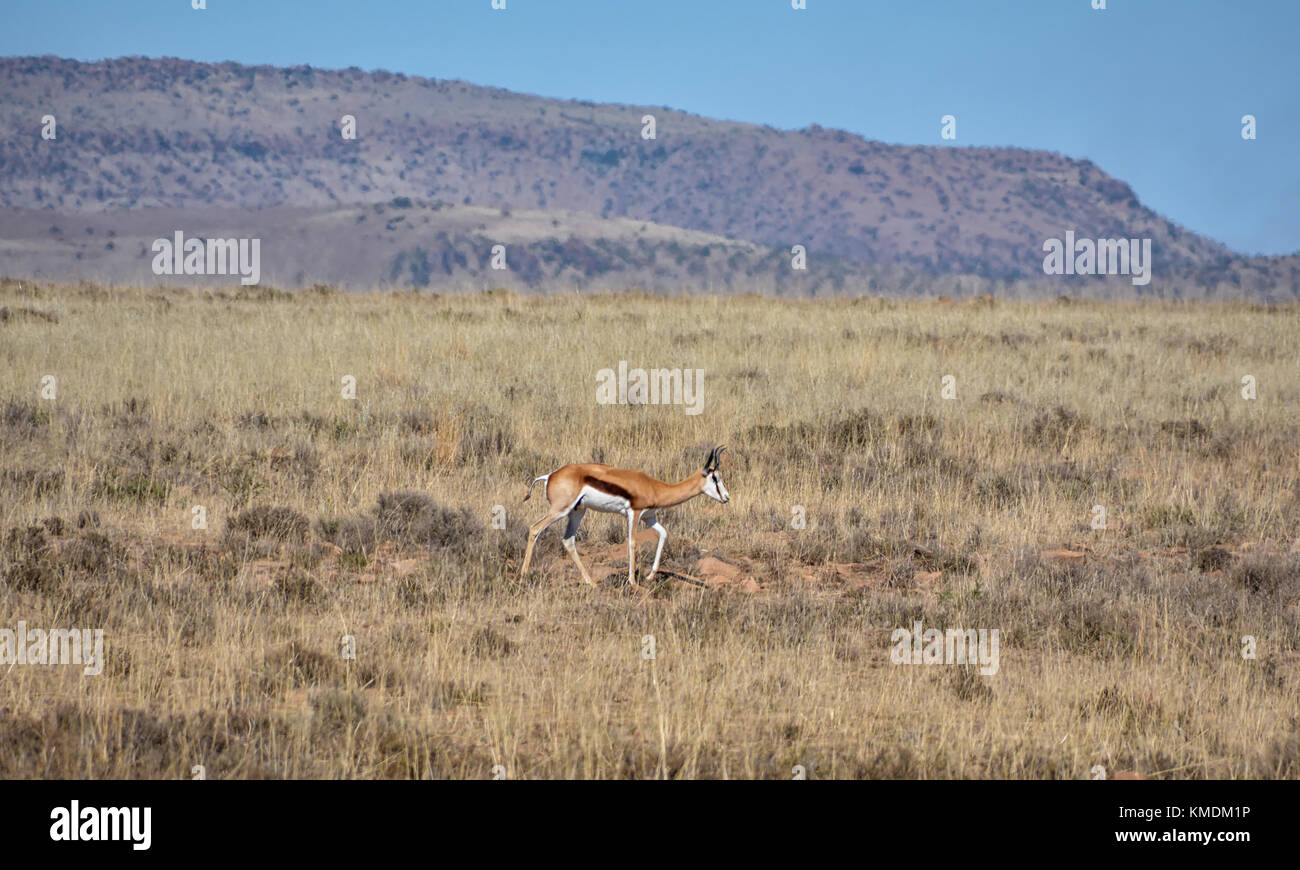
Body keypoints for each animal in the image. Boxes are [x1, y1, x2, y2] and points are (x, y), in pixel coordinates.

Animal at [519, 446, 730, 587]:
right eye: (715, 478)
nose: (726, 497)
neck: (655, 488)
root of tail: (550, 476)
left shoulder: (649, 517)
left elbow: (663, 534)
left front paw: (649, 576)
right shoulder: (634, 514)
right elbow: (632, 543)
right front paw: (633, 582)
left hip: (577, 511)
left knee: (568, 540)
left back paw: (591, 582)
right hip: (560, 510)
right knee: (535, 529)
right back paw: (523, 575)